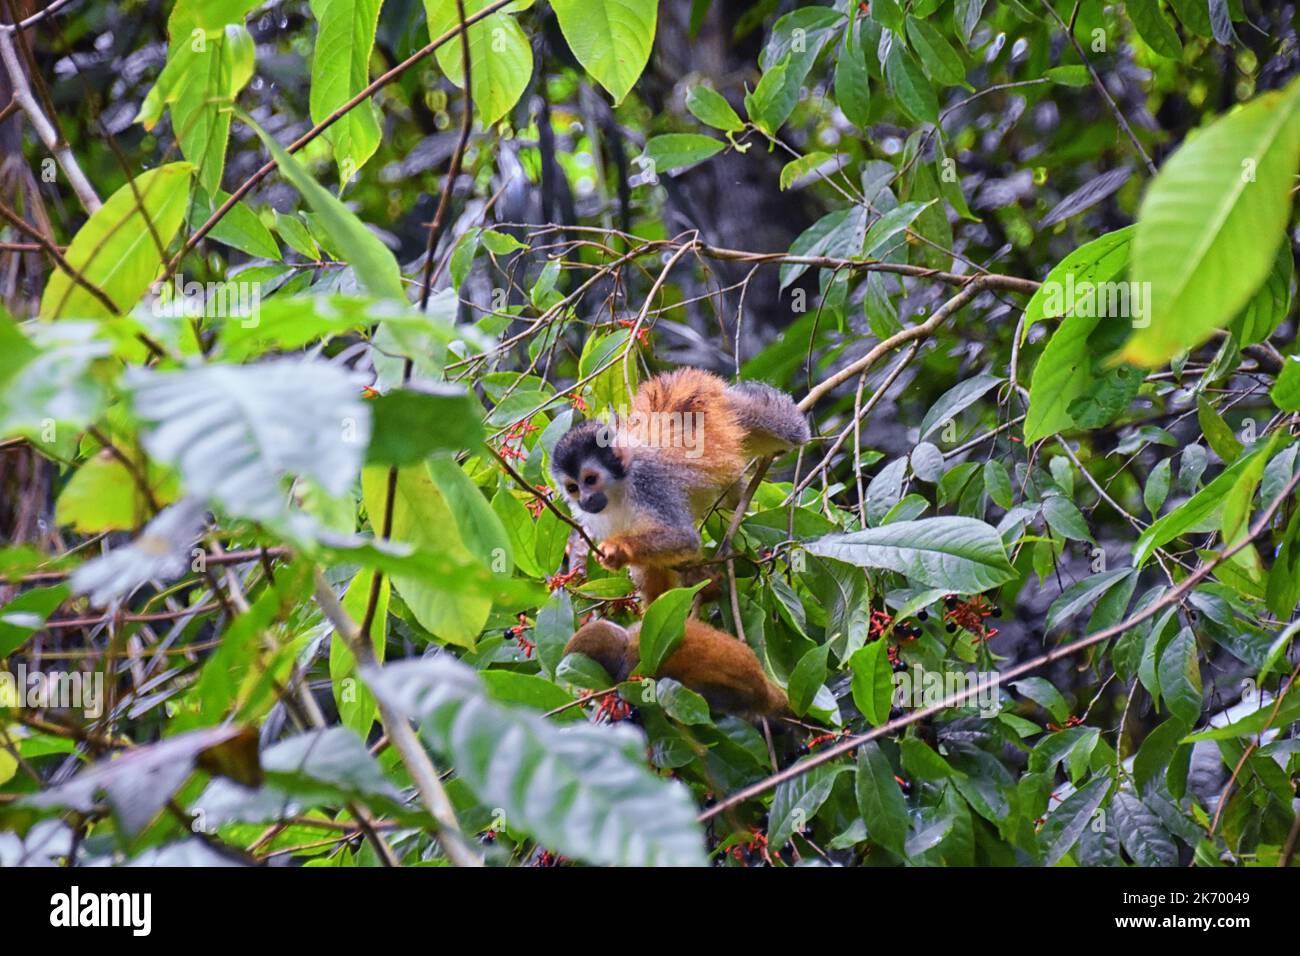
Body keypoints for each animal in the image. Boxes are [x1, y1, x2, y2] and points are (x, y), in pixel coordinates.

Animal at [551, 368, 809, 602]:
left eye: (590, 479)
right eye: (573, 488)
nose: (585, 500)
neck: (619, 490)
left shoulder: (649, 484)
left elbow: (684, 538)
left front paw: (618, 549)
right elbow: (652, 569)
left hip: (736, 411)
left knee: (791, 430)